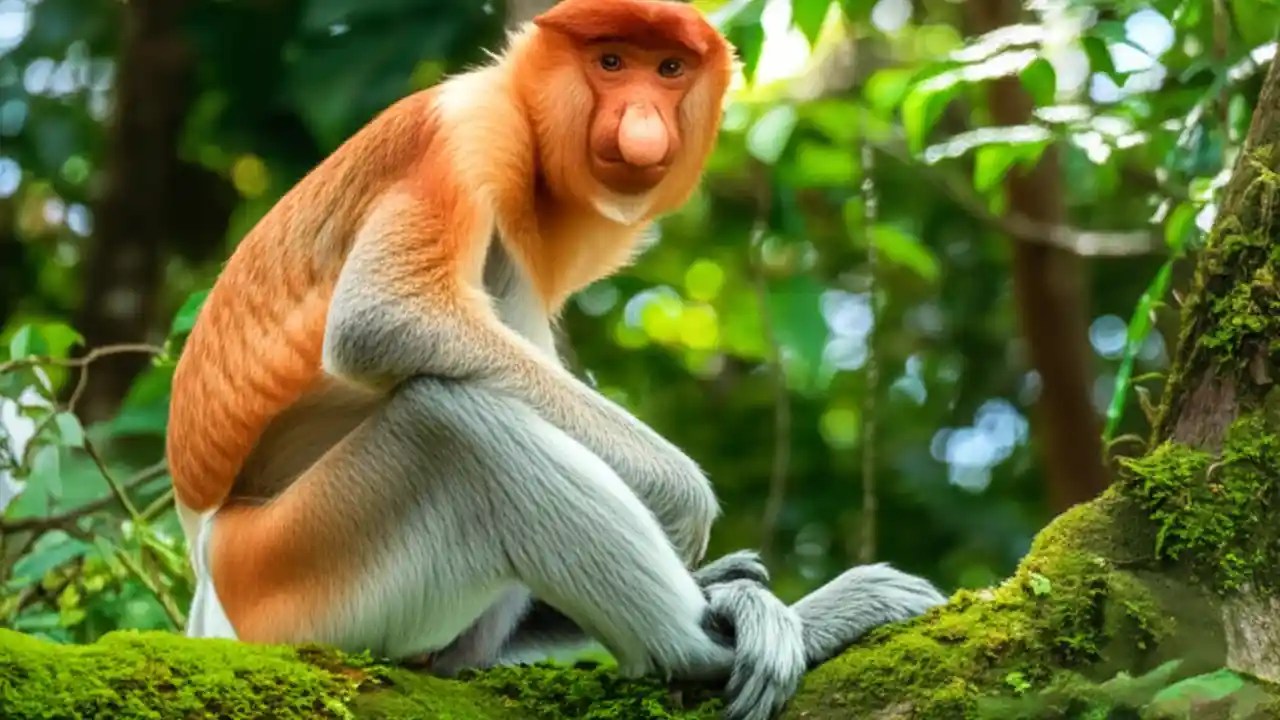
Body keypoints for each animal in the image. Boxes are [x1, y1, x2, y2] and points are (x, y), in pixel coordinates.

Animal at [165, 1, 946, 718]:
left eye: (669, 69)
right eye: (611, 62)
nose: (641, 121)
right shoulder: (469, 130)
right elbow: (384, 318)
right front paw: (685, 507)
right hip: (291, 579)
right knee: (456, 425)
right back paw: (731, 643)